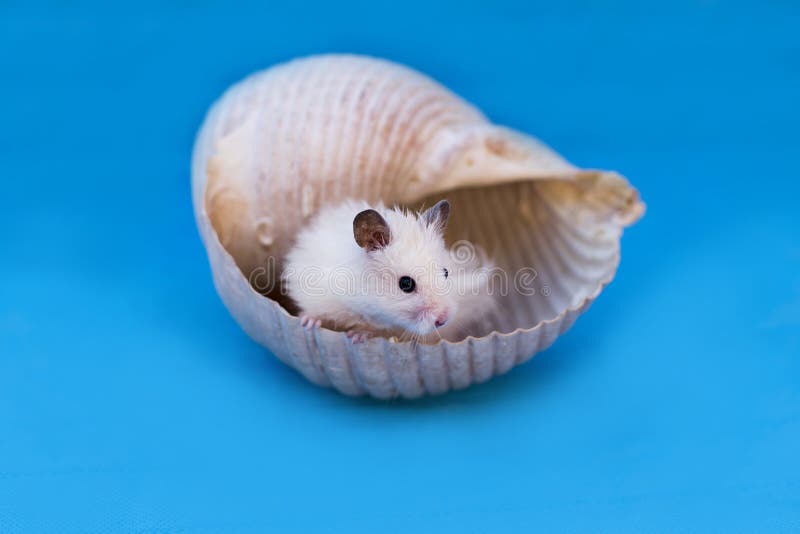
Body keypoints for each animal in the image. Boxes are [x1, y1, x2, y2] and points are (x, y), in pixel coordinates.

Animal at [282, 199, 494, 343]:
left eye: (446, 273)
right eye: (406, 284)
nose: (443, 320)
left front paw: (358, 336)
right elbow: (315, 312)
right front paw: (307, 323)